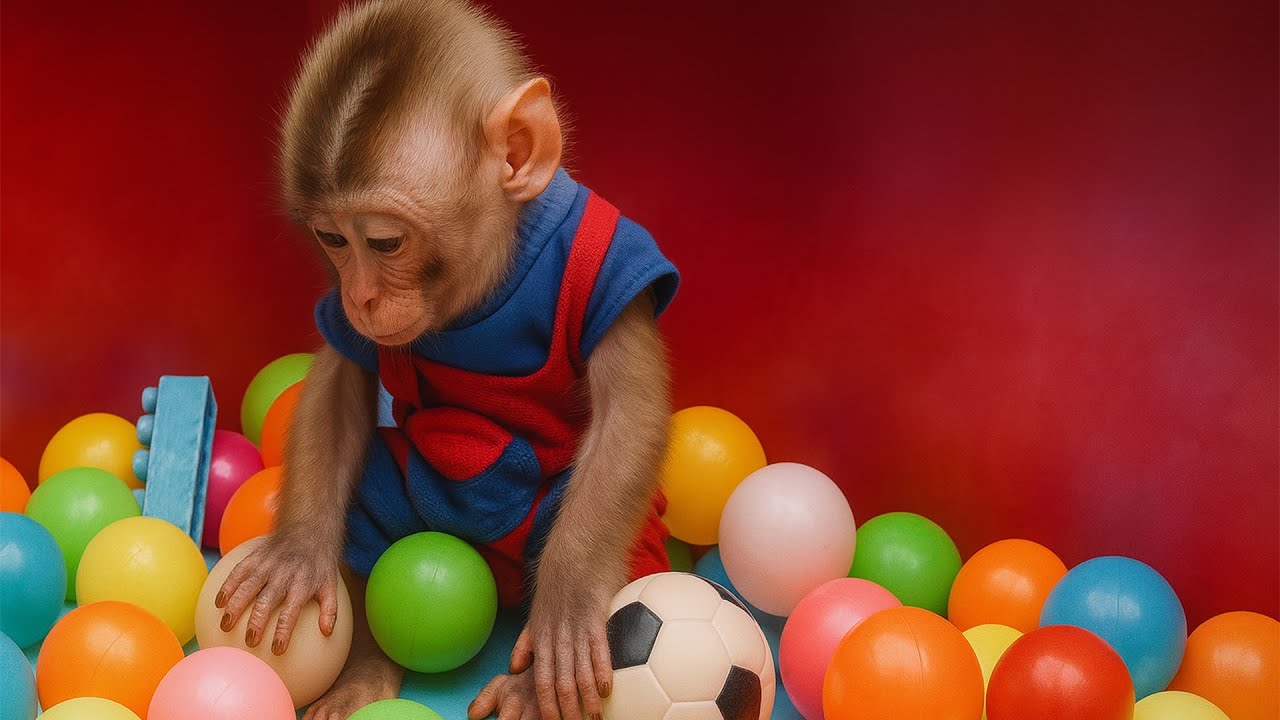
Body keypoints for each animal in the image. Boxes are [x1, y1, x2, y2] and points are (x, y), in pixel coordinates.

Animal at [211, 1, 680, 719]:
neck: (492, 277)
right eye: (332, 240)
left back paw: (528, 685)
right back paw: (365, 672)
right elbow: (343, 380)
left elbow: (629, 416)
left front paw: (568, 603)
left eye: (385, 242)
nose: (361, 296)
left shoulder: (614, 264)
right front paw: (296, 549)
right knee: (375, 490)